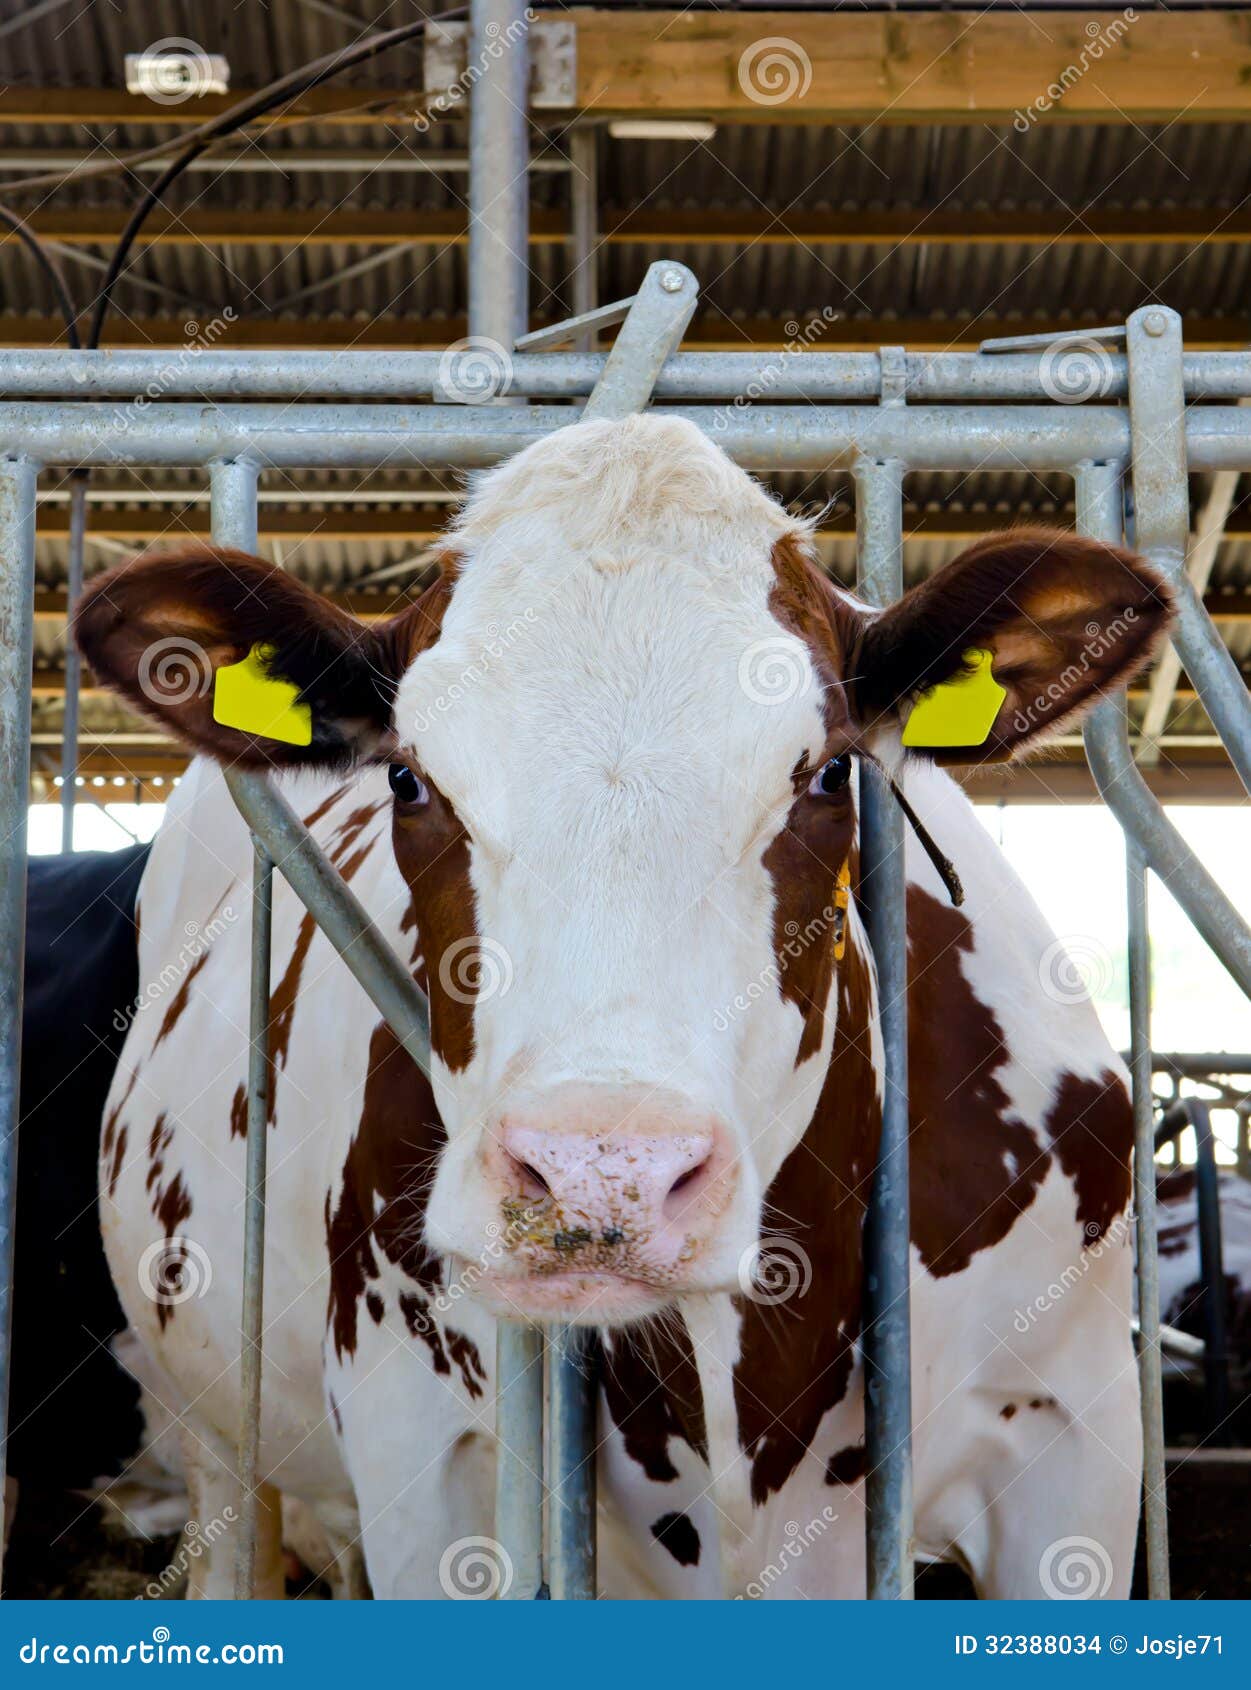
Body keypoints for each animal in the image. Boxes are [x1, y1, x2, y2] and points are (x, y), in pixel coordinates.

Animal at [73, 414, 1173, 1599]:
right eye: (409, 780)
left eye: (828, 773)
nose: (607, 1173)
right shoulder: (423, 1454)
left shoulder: (1075, 1443)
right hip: (216, 1431)